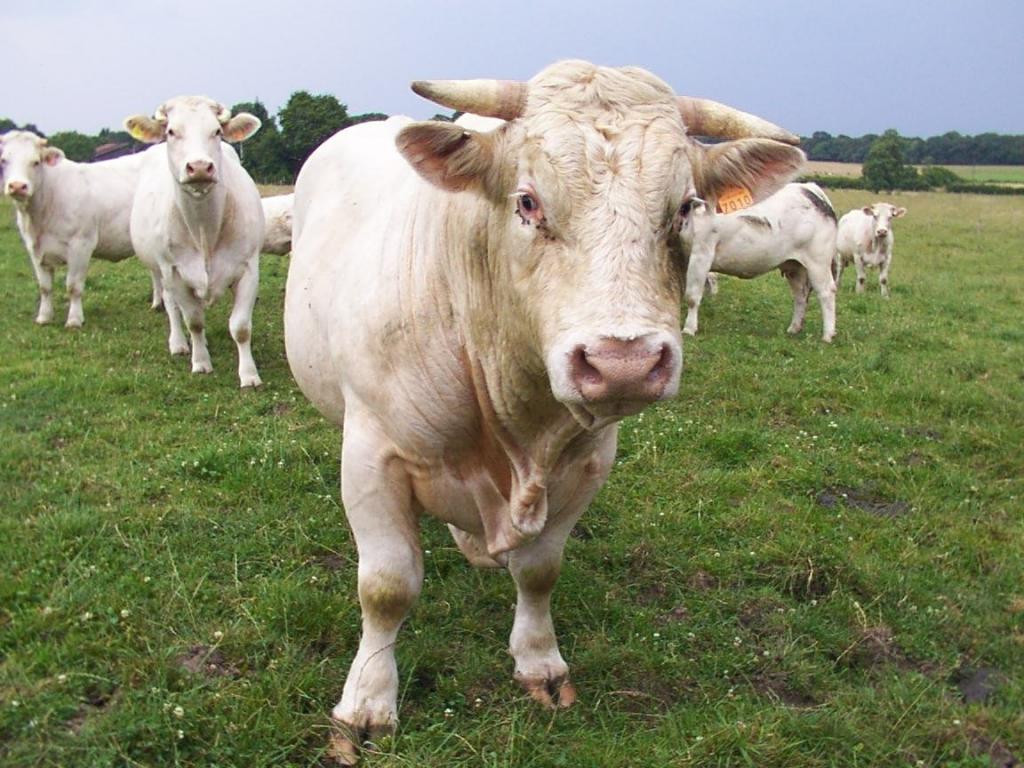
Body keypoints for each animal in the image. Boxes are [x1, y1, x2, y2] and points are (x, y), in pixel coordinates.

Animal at [0, 130, 150, 327]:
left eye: (36, 161)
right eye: (4, 160)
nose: (17, 186)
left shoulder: (81, 245)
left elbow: (73, 287)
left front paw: (74, 320)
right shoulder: (34, 249)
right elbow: (44, 287)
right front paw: (44, 317)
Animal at [124, 97, 265, 387]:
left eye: (217, 131)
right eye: (171, 131)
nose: (199, 166)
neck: (204, 232)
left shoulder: (249, 268)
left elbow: (241, 327)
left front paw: (249, 374)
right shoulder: (176, 272)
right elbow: (194, 321)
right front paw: (200, 362)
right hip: (161, 268)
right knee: (171, 305)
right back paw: (178, 344)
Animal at [283, 60, 805, 763]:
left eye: (685, 208)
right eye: (528, 201)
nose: (623, 362)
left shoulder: (585, 465)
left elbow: (539, 572)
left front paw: (539, 662)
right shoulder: (375, 456)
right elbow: (387, 585)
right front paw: (367, 701)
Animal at [681, 182, 838, 342]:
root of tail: (808, 188)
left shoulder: (701, 252)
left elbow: (692, 296)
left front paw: (688, 329)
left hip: (818, 261)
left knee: (826, 292)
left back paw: (827, 335)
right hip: (795, 266)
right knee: (800, 294)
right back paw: (794, 328)